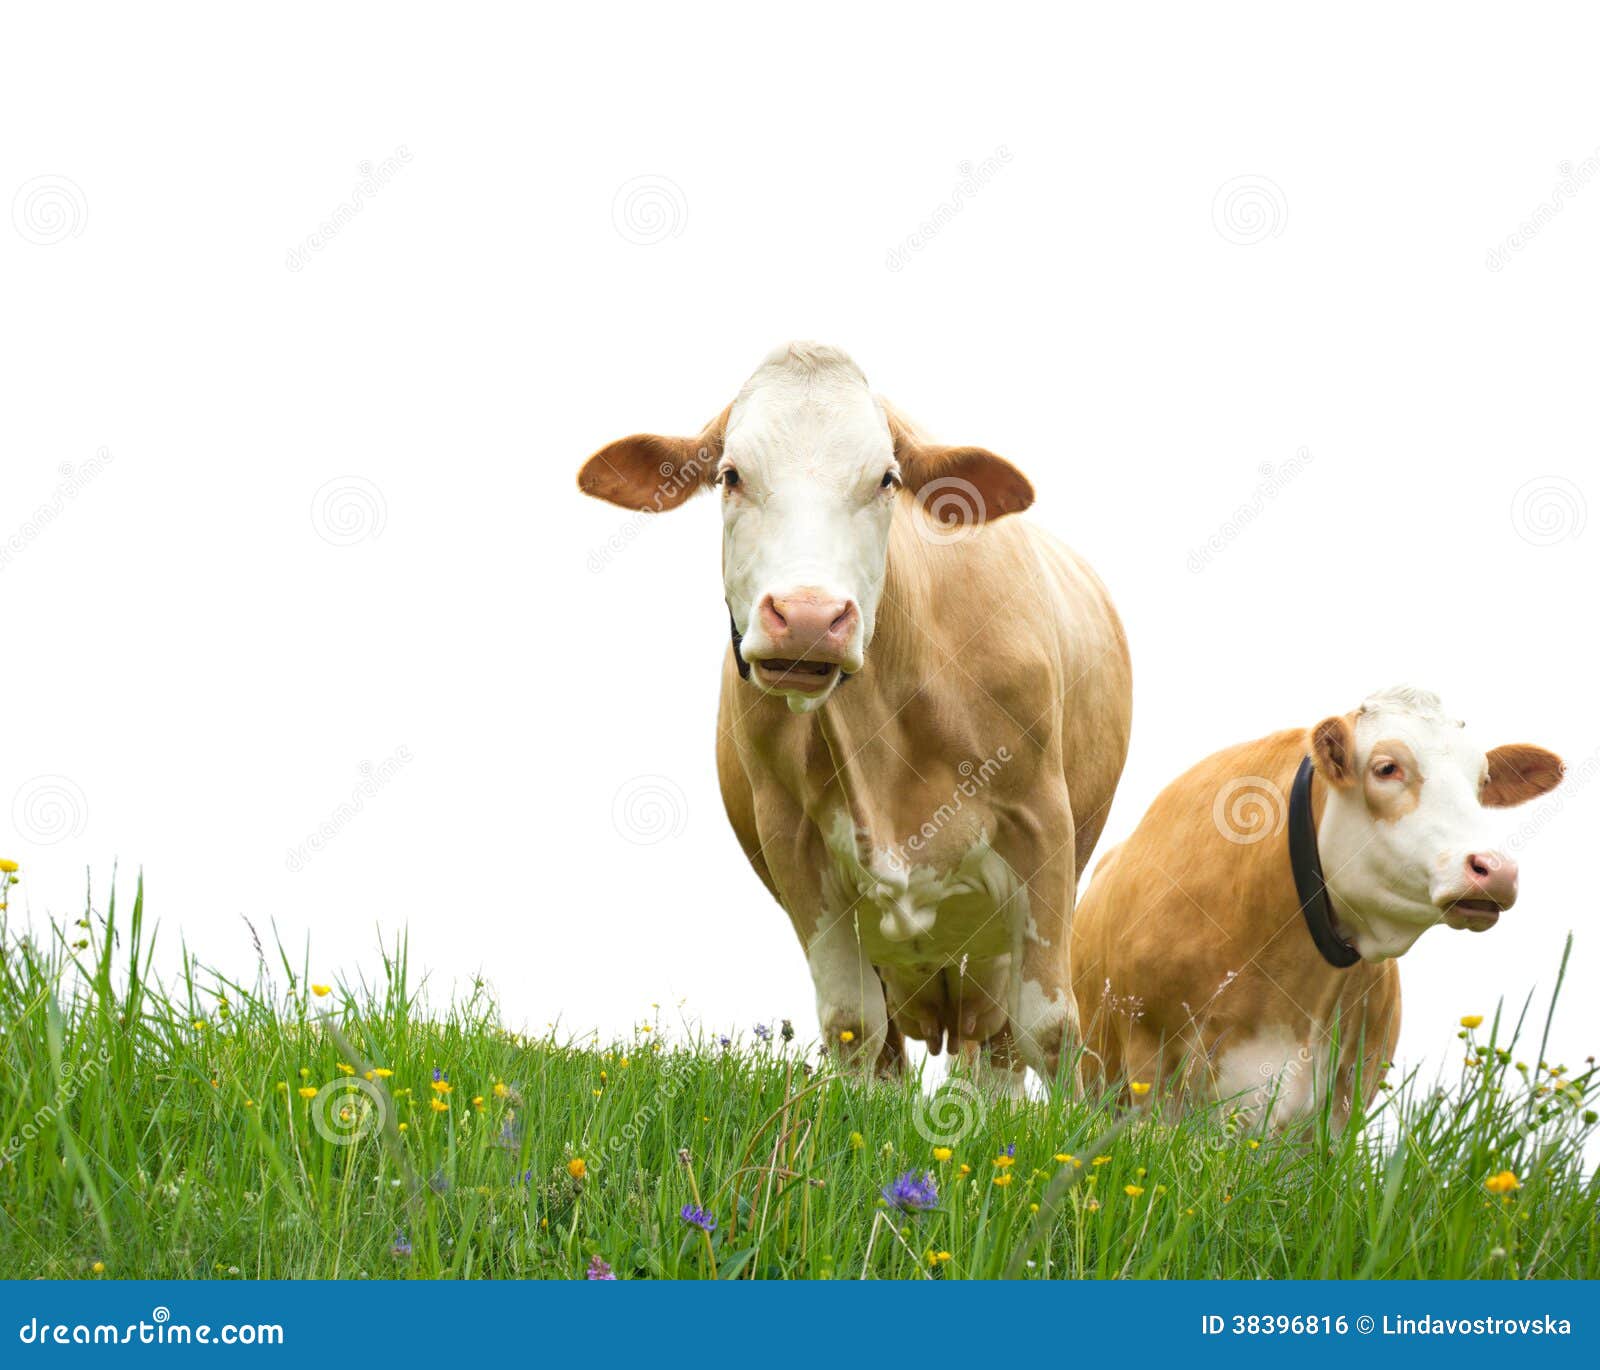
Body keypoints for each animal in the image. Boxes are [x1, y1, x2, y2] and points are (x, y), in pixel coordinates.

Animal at [578, 342, 1133, 1091]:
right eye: (730, 475)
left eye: (887, 479)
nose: (810, 617)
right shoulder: (793, 843)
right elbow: (852, 1025)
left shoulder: (1042, 822)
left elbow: (1049, 1027)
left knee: (996, 1048)